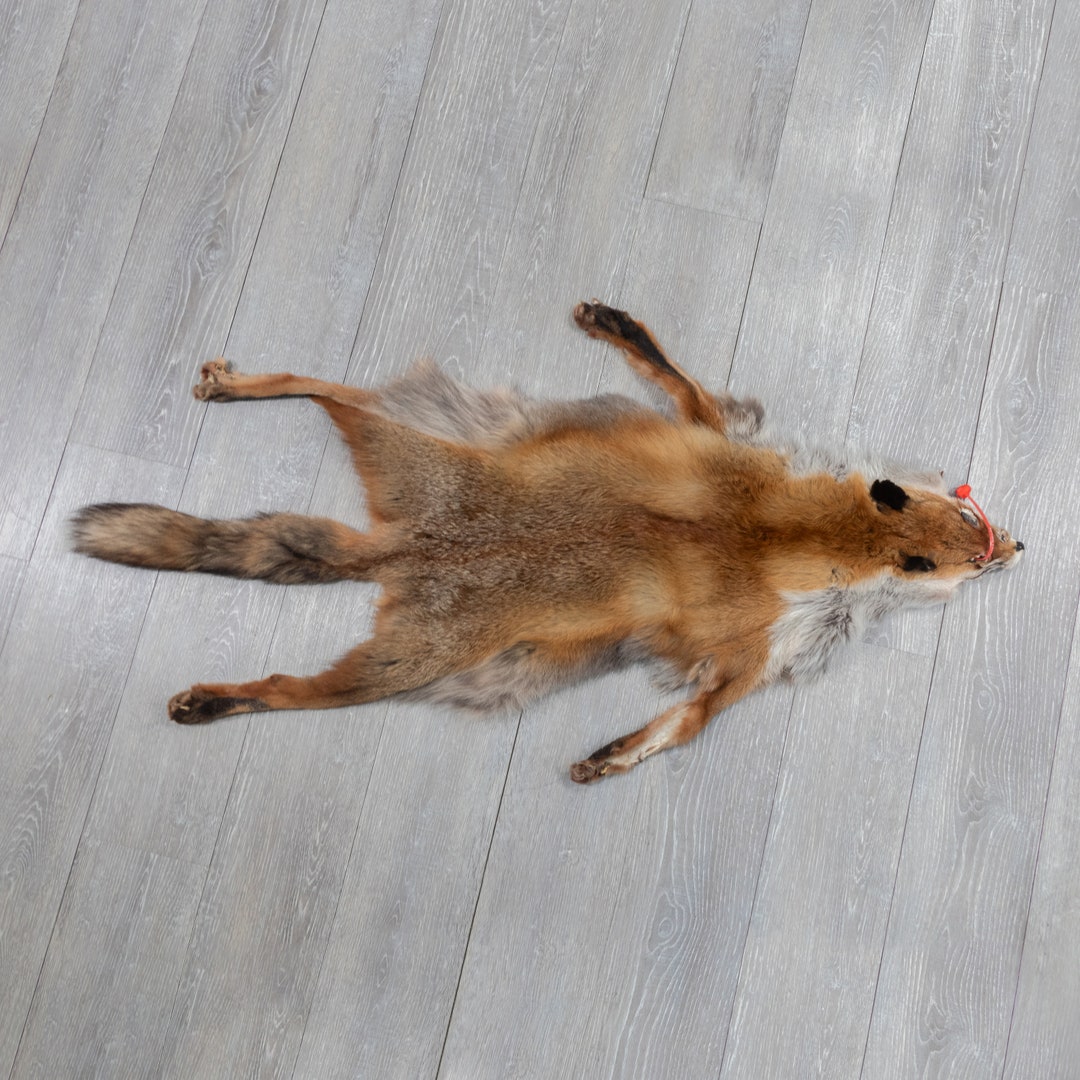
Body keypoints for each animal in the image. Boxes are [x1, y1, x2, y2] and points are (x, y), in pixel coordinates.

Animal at [72, 301, 1024, 782]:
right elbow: (689, 724)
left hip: (392, 436)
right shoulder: (744, 648)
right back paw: (212, 702)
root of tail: (402, 550)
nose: (1019, 550)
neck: (785, 532)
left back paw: (232, 386)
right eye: (972, 542)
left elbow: (672, 375)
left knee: (317, 388)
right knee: (283, 691)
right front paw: (613, 759)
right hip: (400, 670)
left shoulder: (716, 446)